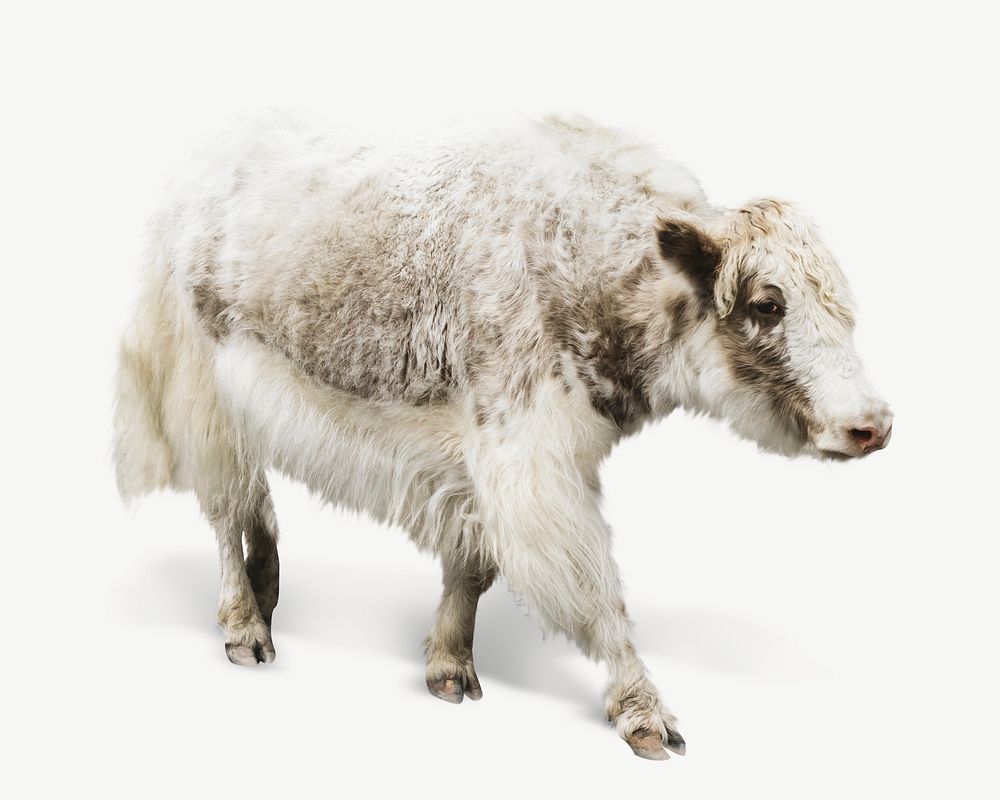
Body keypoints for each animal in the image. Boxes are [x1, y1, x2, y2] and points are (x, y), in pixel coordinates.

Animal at [113, 113, 892, 760]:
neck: (595, 263)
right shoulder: (527, 458)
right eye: (768, 303)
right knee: (224, 501)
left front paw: (449, 666)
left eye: (842, 307)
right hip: (201, 386)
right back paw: (246, 625)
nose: (872, 425)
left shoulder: (481, 458)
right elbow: (592, 585)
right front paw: (644, 714)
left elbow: (472, 562)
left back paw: (269, 586)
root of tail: (197, 167)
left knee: (253, 497)